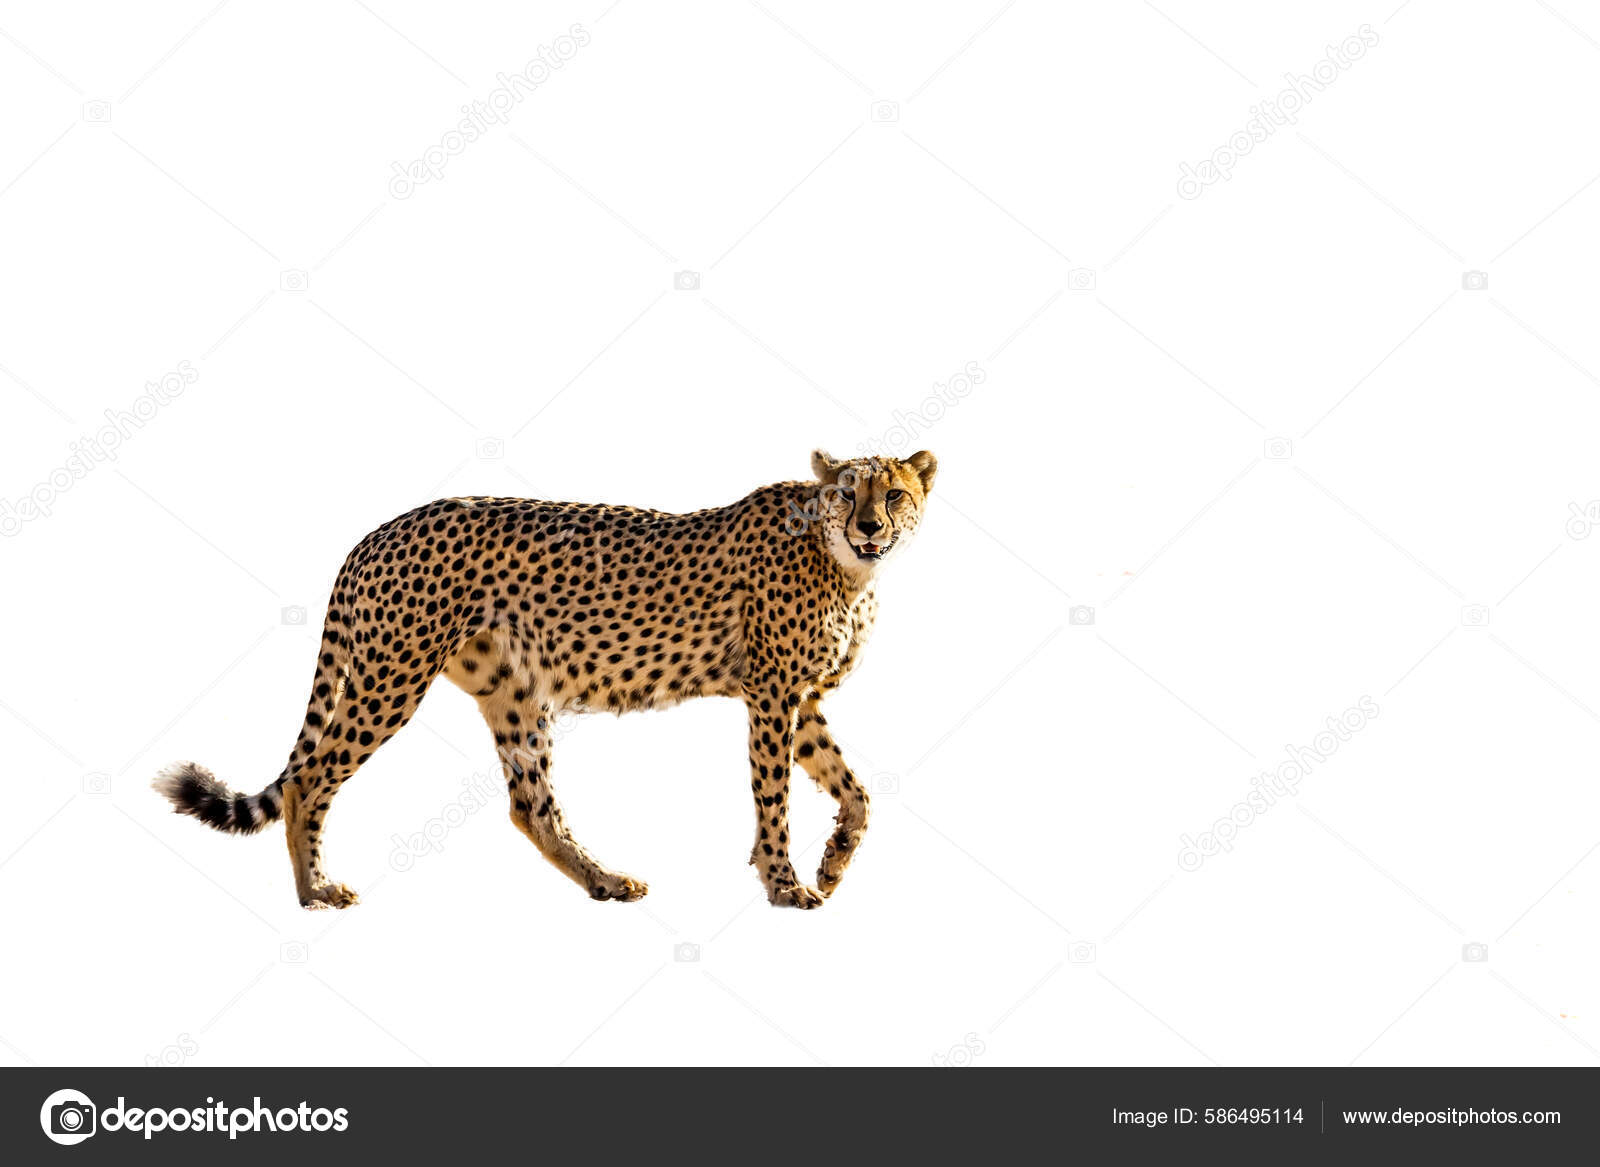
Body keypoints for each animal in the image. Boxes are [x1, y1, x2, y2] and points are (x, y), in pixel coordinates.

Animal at [154, 448, 938, 911]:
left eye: (894, 494)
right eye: (847, 493)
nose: (871, 525)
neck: (846, 566)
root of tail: (376, 532)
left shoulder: (800, 698)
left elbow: (856, 792)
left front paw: (832, 865)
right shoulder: (772, 693)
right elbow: (774, 797)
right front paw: (783, 881)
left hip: (513, 693)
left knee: (531, 806)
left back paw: (604, 878)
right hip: (393, 677)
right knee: (312, 776)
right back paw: (313, 888)